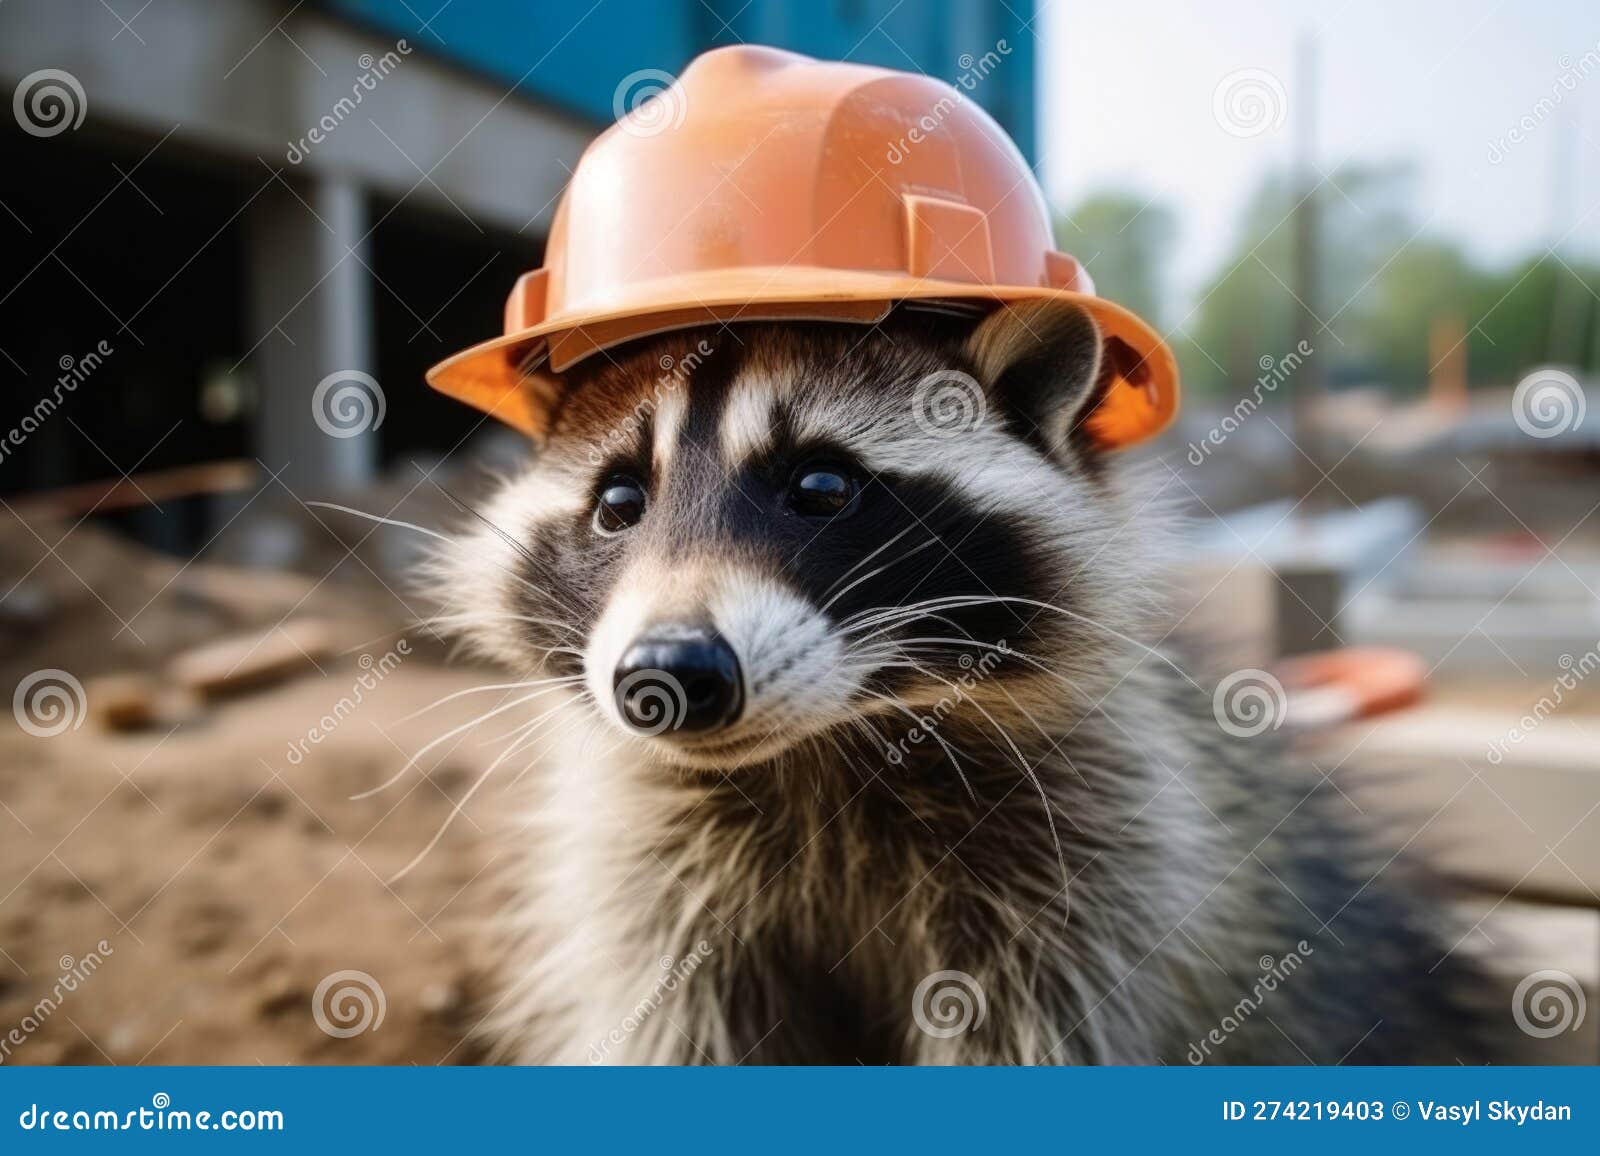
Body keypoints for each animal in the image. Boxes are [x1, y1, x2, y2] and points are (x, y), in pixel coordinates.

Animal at [430, 300, 1508, 1065]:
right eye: (618, 502)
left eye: (821, 487)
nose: (671, 671)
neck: (827, 747)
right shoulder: (653, 886)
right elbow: (671, 1021)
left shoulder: (1092, 866)